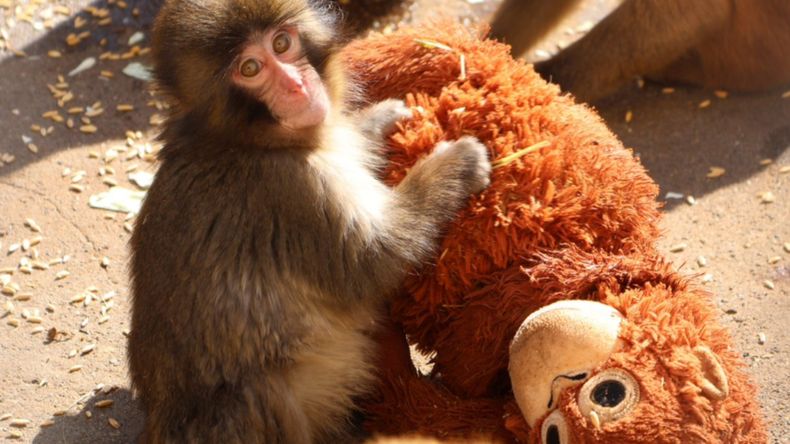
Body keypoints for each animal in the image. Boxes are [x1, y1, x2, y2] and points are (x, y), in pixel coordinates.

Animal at [126, 0, 491, 442]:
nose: (297, 86)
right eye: (250, 68)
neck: (242, 141)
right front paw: (456, 164)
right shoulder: (293, 189)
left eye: (282, 44)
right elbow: (374, 260)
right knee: (260, 392)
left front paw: (379, 118)